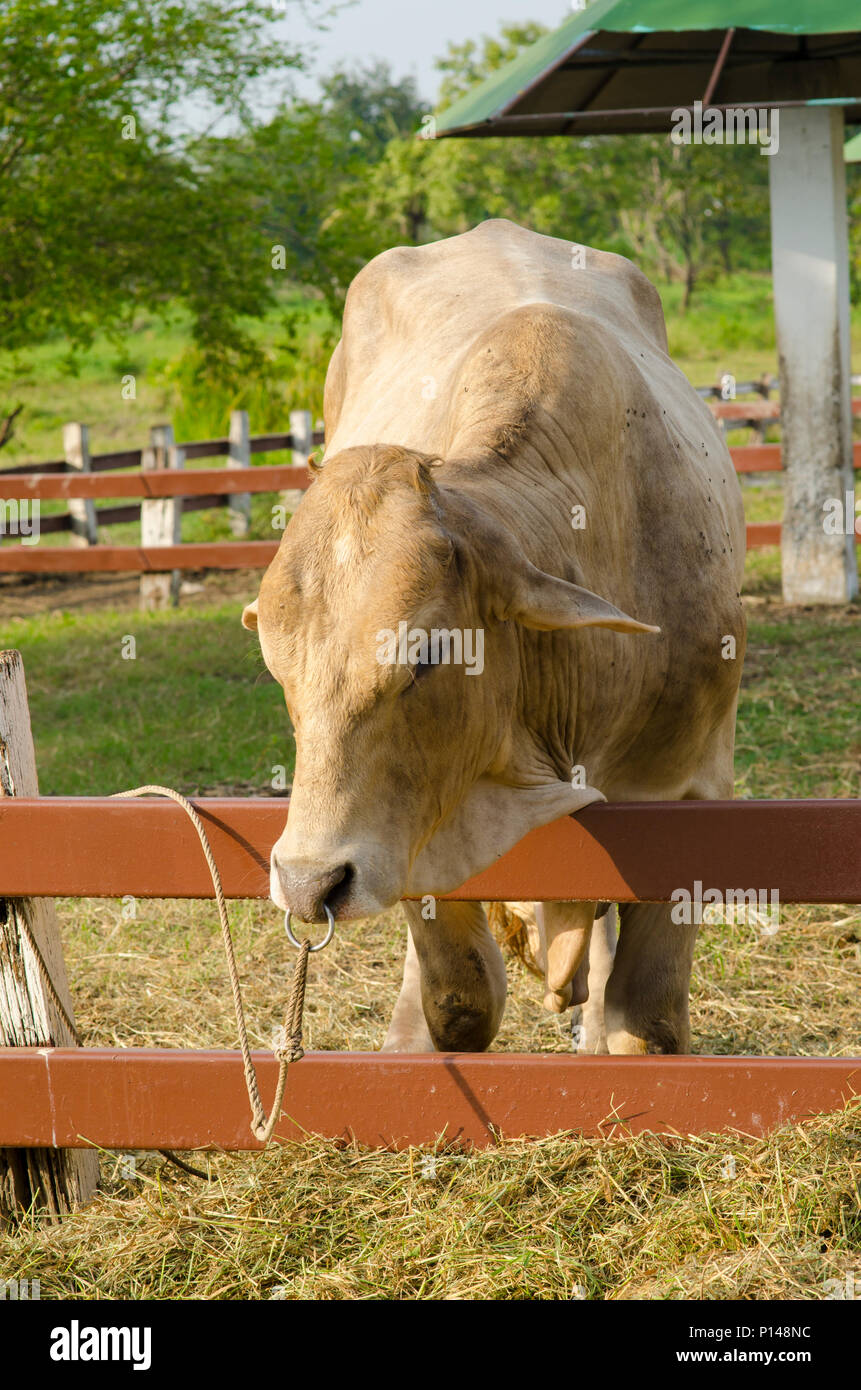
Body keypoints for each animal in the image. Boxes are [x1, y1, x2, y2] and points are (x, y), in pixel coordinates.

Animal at [242, 219, 746, 1056]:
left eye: (427, 656)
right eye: (278, 670)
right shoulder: (422, 831)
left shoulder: (691, 791)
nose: (310, 882)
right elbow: (462, 1002)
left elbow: (644, 1020)